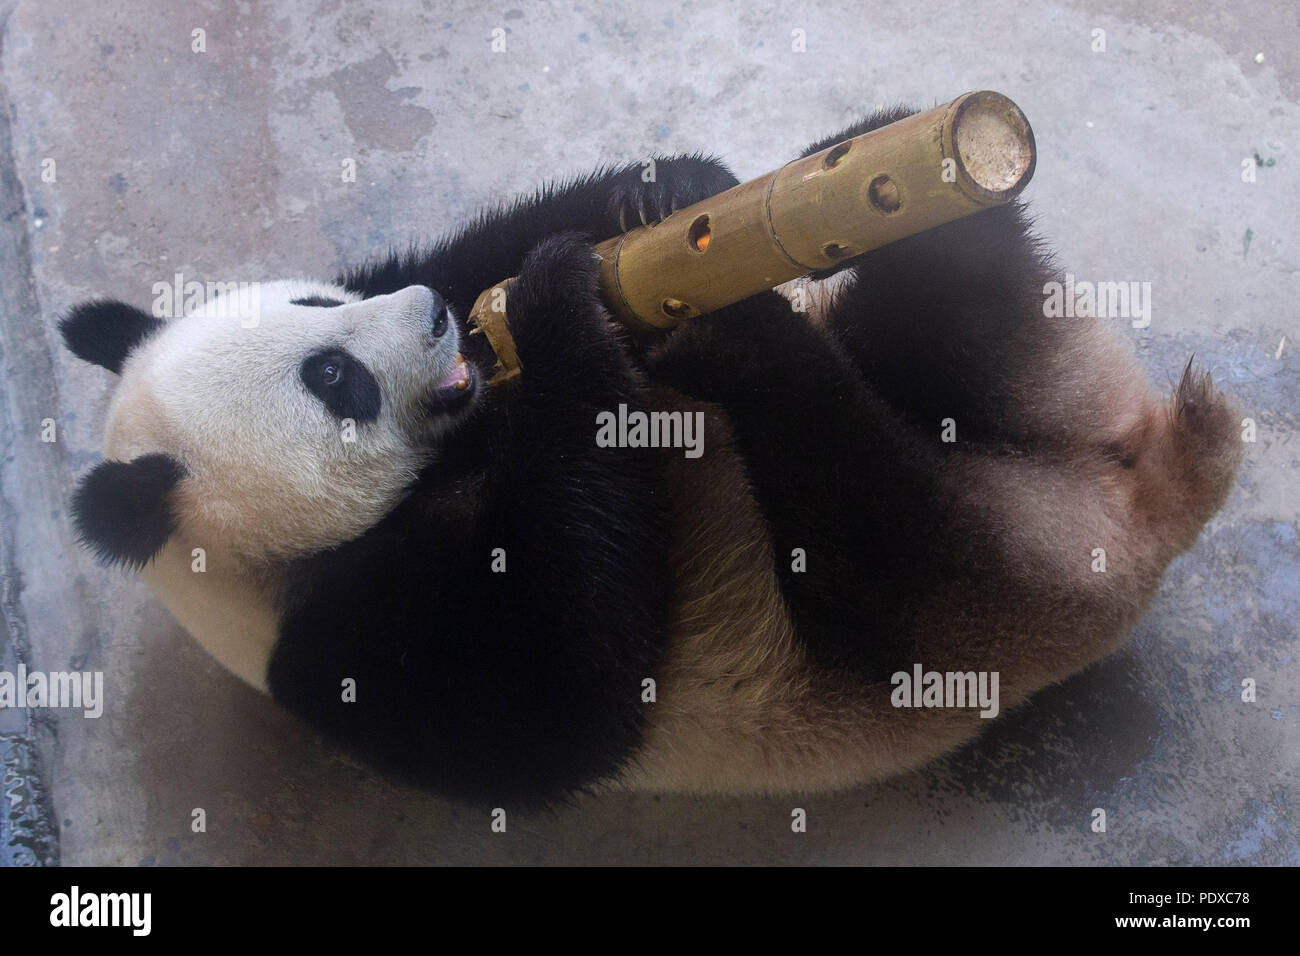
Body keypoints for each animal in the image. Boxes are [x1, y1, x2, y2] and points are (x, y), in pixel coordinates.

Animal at [59, 108, 1242, 808]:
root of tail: (1152, 483)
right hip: (984, 596)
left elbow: (494, 242)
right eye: (332, 378)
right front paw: (563, 315)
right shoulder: (343, 646)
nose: (439, 319)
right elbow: (568, 686)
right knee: (882, 520)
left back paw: (887, 171)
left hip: (1045, 378)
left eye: (315, 306)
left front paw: (658, 194)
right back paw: (744, 344)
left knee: (959, 319)